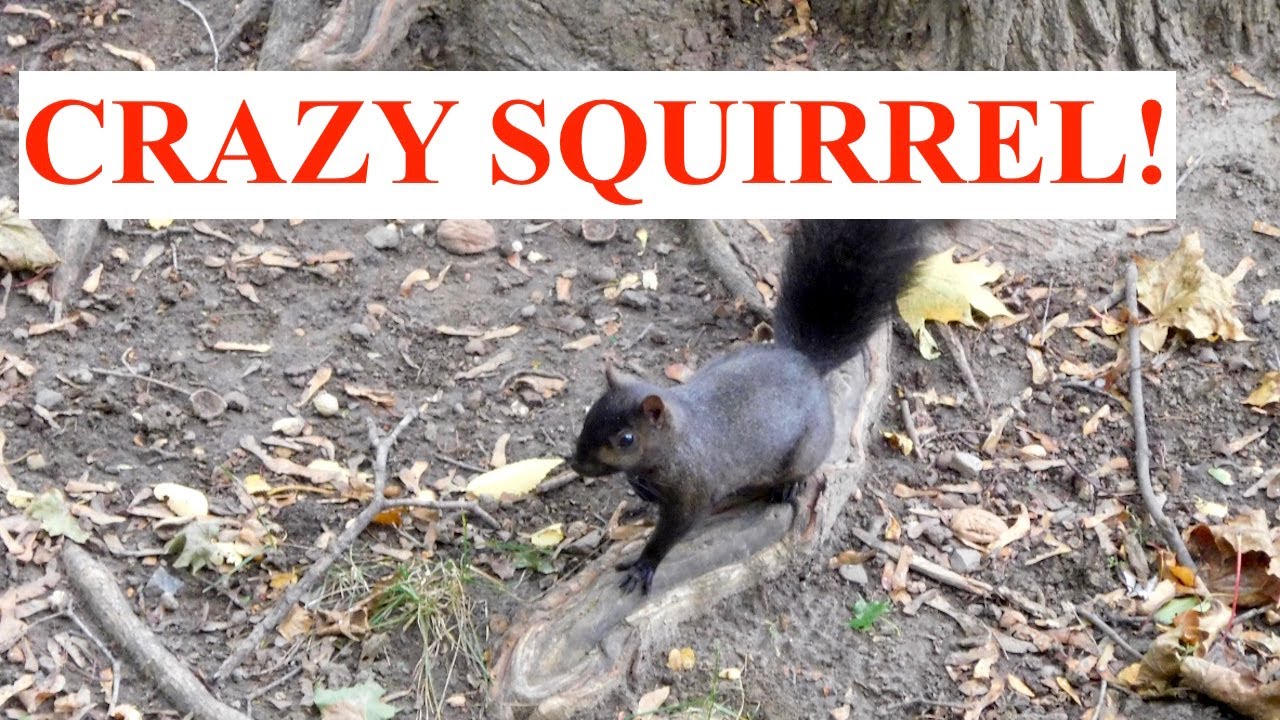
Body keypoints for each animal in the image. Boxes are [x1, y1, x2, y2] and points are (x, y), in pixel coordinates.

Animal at [570, 219, 928, 594]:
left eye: (626, 439)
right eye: (590, 415)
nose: (576, 463)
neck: (677, 440)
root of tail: (803, 362)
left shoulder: (694, 492)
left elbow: (672, 532)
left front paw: (644, 565)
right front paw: (638, 485)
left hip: (806, 450)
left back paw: (788, 486)